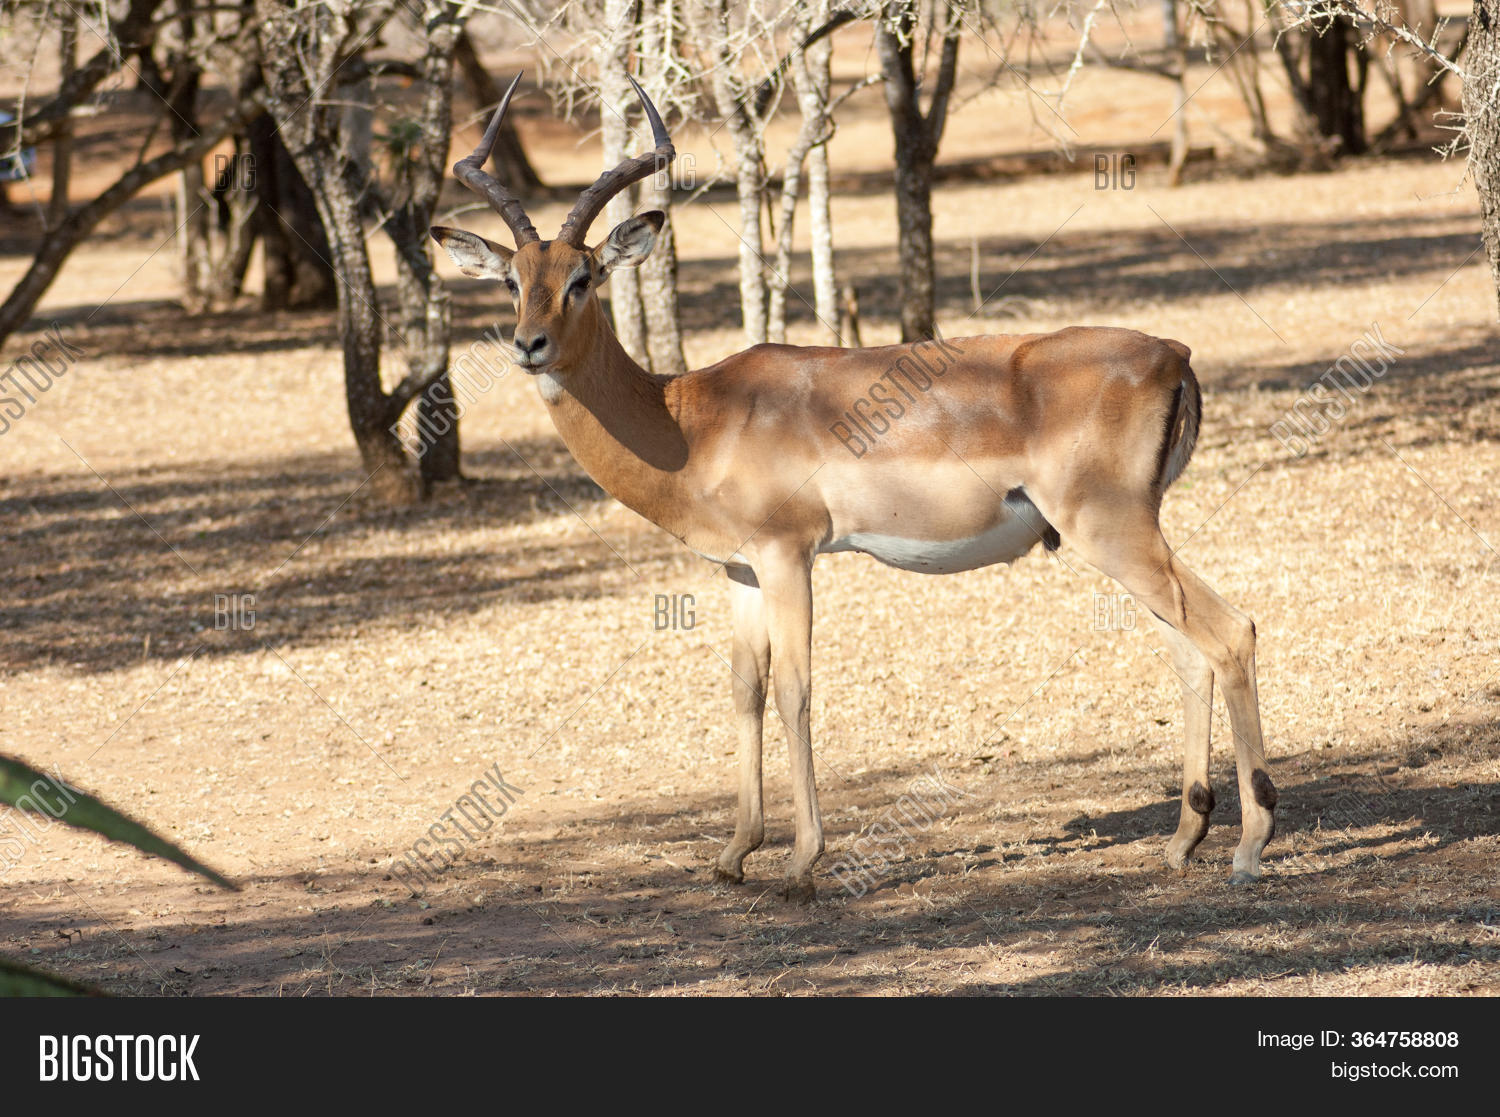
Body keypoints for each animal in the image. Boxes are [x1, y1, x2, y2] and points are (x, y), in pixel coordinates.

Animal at [430, 72, 1277, 903]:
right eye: (512, 280)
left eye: (582, 277)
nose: (529, 345)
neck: (690, 417)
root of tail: (1171, 352)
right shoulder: (740, 569)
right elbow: (745, 689)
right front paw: (734, 854)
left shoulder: (789, 554)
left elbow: (795, 689)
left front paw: (802, 863)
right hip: (1124, 539)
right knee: (1189, 653)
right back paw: (1183, 840)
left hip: (1114, 531)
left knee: (1231, 630)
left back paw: (1250, 844)